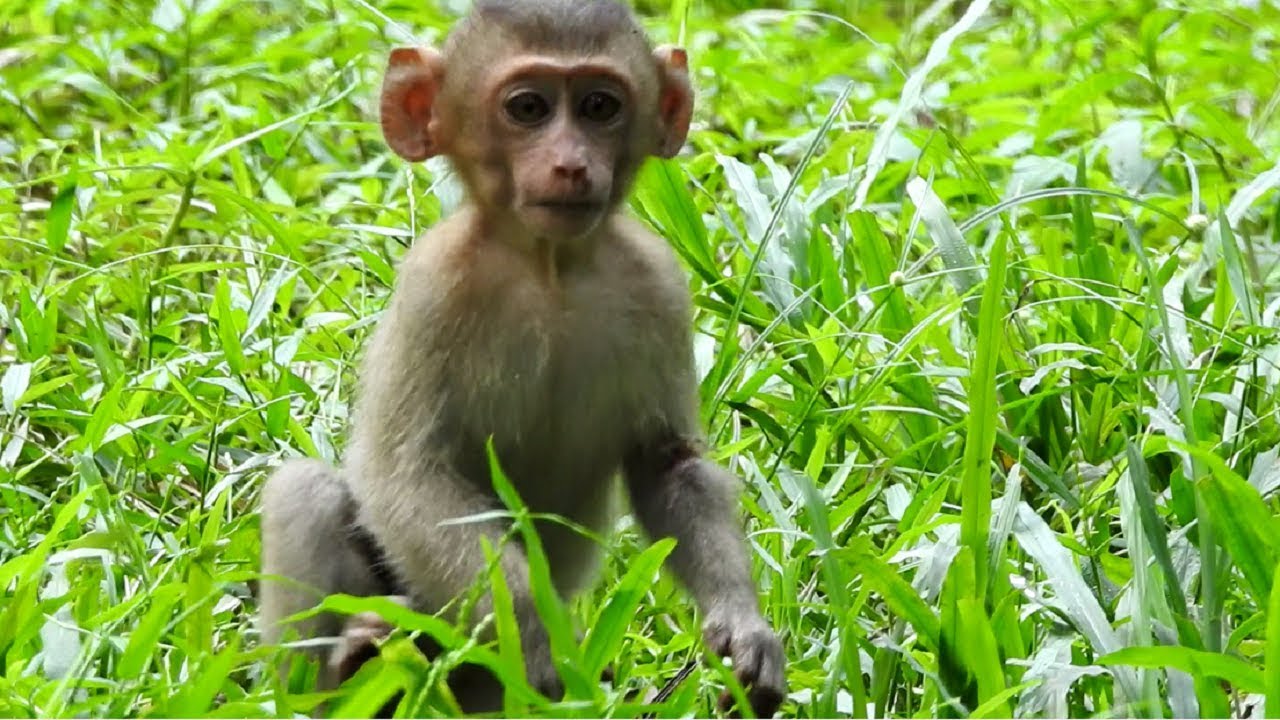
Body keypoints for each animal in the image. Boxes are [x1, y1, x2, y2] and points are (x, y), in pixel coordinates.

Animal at [258, 0, 787, 716]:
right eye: (528, 108)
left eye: (598, 106)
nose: (570, 164)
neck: (548, 268)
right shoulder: (433, 287)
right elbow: (406, 476)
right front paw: (534, 638)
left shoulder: (658, 283)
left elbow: (668, 465)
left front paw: (743, 630)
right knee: (306, 491)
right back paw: (350, 665)